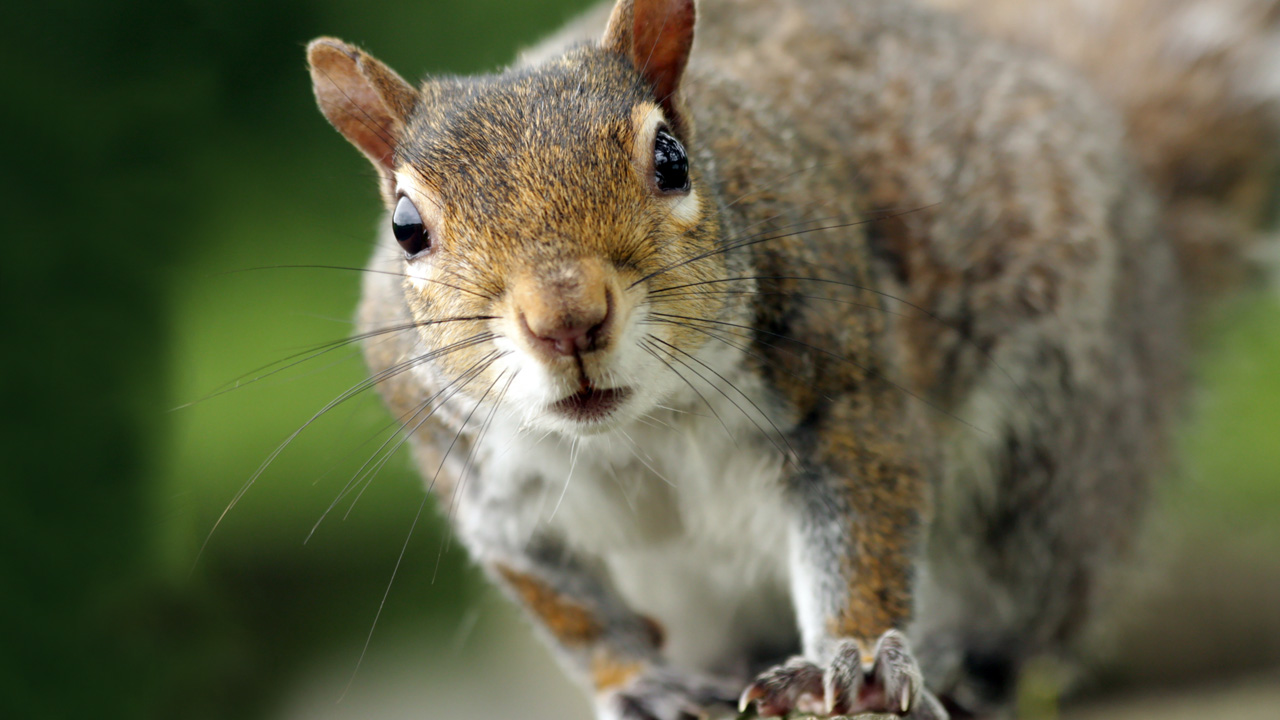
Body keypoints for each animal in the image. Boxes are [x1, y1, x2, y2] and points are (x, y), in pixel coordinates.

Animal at [304, 0, 1279, 718]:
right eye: (407, 226)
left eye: (671, 159)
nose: (568, 319)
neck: (641, 425)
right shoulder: (480, 481)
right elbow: (565, 606)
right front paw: (636, 681)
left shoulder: (842, 387)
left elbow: (865, 527)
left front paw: (853, 660)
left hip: (1046, 451)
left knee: (1037, 608)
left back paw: (966, 662)